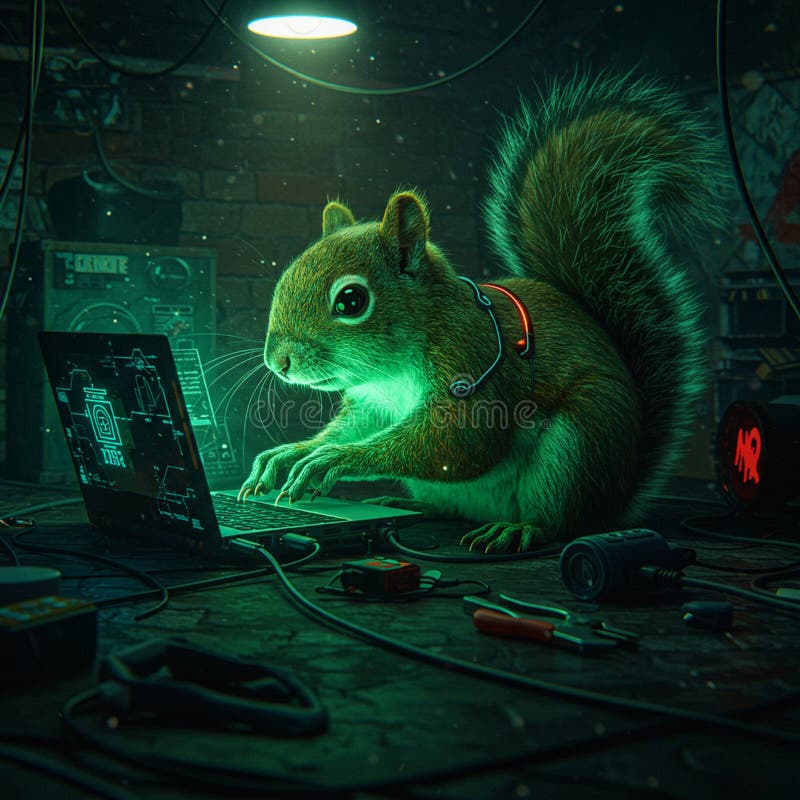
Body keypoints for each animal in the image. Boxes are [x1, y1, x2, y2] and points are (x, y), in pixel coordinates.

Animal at [238, 73, 724, 553]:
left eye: (351, 301)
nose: (277, 361)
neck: (394, 368)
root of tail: (617, 501)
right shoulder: (376, 405)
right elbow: (357, 426)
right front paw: (293, 452)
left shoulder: (471, 361)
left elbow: (458, 442)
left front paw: (334, 459)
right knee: (453, 506)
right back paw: (416, 506)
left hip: (579, 442)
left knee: (559, 519)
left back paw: (517, 529)